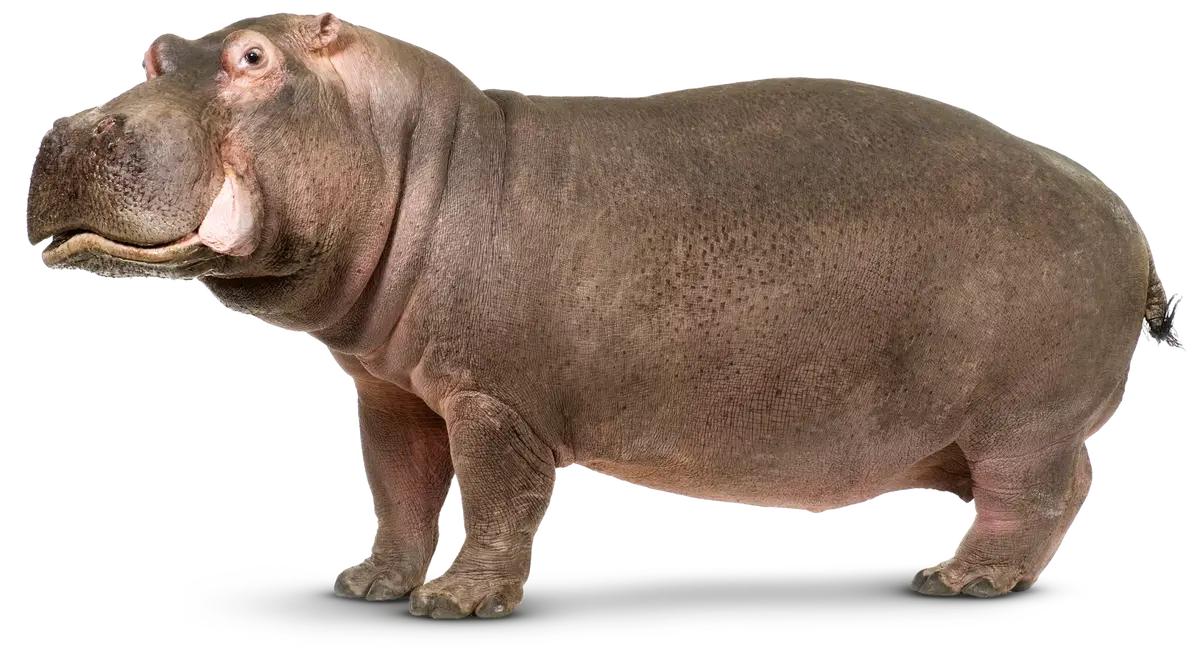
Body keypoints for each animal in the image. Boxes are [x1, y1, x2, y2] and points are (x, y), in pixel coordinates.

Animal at [25, 11, 1182, 619]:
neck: (409, 150)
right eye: (156, 51)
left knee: (1039, 491)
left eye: (254, 58)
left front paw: (456, 603)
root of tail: (1127, 220)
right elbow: (399, 490)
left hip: (1021, 421)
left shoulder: (495, 399)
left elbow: (497, 500)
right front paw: (370, 584)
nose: (69, 132)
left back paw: (963, 580)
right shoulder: (393, 392)